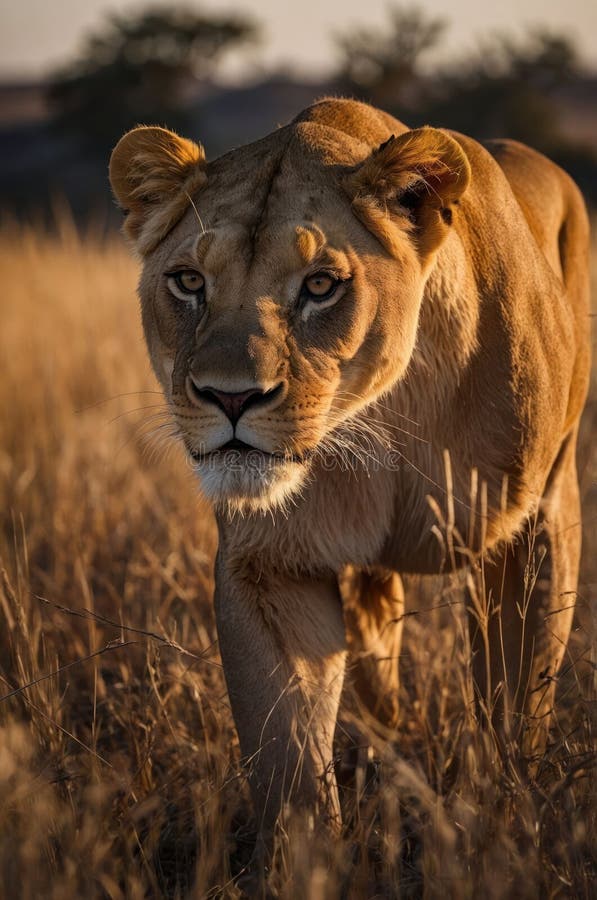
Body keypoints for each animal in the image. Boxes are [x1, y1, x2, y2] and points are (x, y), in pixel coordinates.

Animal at [109, 98, 591, 845]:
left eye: (320, 286)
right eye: (189, 281)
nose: (229, 397)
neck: (379, 418)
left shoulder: (530, 529)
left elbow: (516, 700)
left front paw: (507, 817)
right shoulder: (270, 563)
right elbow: (287, 759)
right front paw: (302, 857)